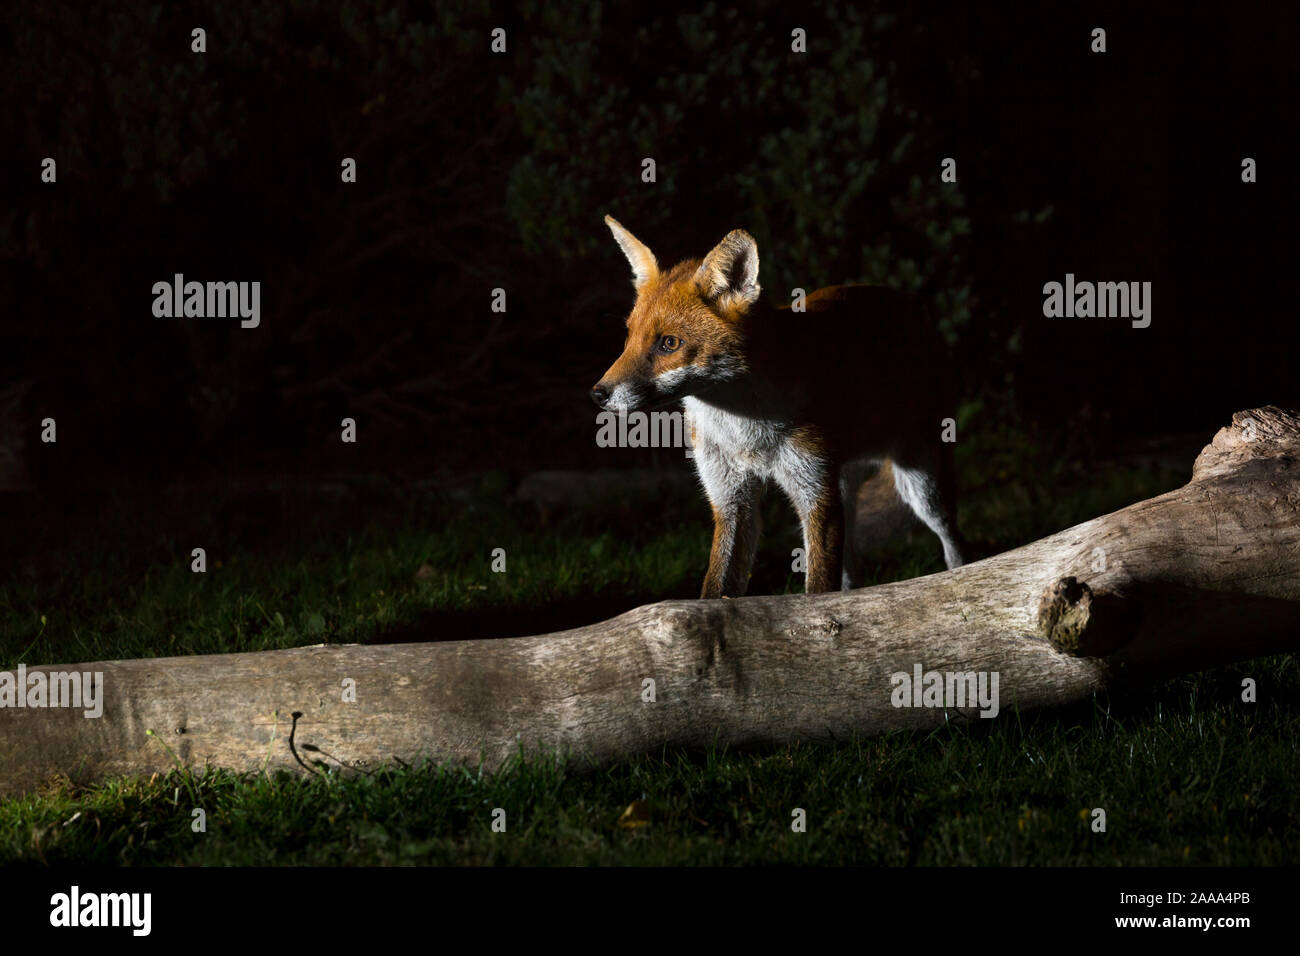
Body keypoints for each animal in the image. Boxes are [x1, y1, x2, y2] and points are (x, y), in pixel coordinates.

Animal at [591, 216, 967, 598]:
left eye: (669, 343)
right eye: (629, 337)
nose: (598, 394)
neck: (745, 434)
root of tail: (911, 304)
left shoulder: (814, 495)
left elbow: (817, 590)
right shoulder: (731, 500)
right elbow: (717, 588)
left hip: (921, 485)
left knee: (953, 543)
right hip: (845, 491)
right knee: (851, 570)